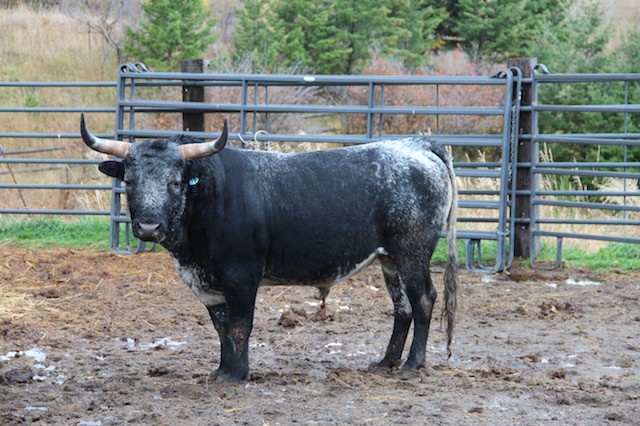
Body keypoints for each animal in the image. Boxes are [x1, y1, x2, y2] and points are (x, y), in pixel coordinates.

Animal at [80, 113, 459, 383]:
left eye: (175, 182)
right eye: (129, 181)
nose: (148, 227)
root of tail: (416, 146)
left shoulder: (241, 275)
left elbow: (239, 325)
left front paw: (237, 374)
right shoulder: (208, 283)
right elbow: (221, 327)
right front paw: (222, 370)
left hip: (412, 251)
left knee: (423, 299)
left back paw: (412, 364)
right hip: (389, 258)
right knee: (402, 308)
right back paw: (386, 362)